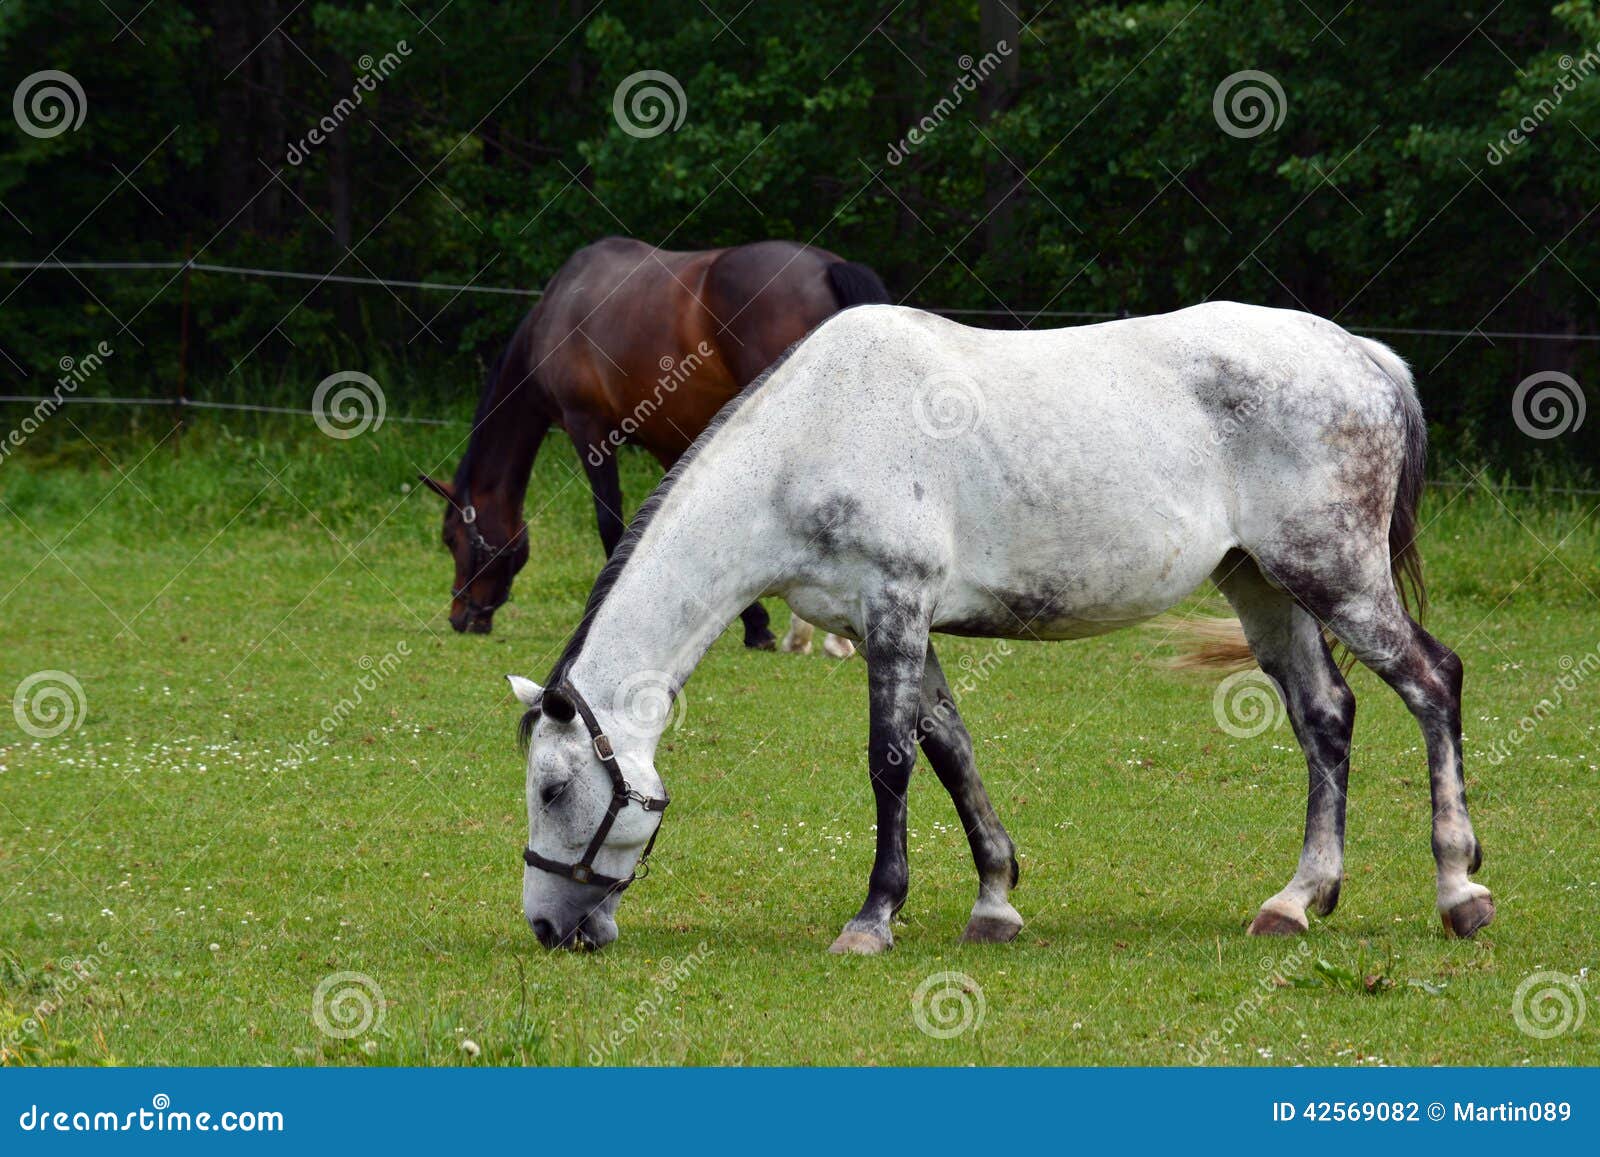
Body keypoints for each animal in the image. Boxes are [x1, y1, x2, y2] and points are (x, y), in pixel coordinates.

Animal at [419, 236, 884, 658]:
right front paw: (750, 622)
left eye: (451, 538)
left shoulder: (590, 431)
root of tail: (825, 267)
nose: (461, 616)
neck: (555, 316)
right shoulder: (670, 441)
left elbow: (611, 523)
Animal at [504, 301, 1493, 953]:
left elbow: (891, 762)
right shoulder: (891, 622)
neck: (811, 440)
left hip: (1336, 575)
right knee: (1326, 718)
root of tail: (1361, 354)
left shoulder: (896, 608)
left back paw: (1459, 890)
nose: (550, 927)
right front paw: (994, 900)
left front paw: (873, 918)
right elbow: (951, 750)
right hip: (1266, 585)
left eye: (553, 789)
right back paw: (1298, 898)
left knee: (1433, 682)